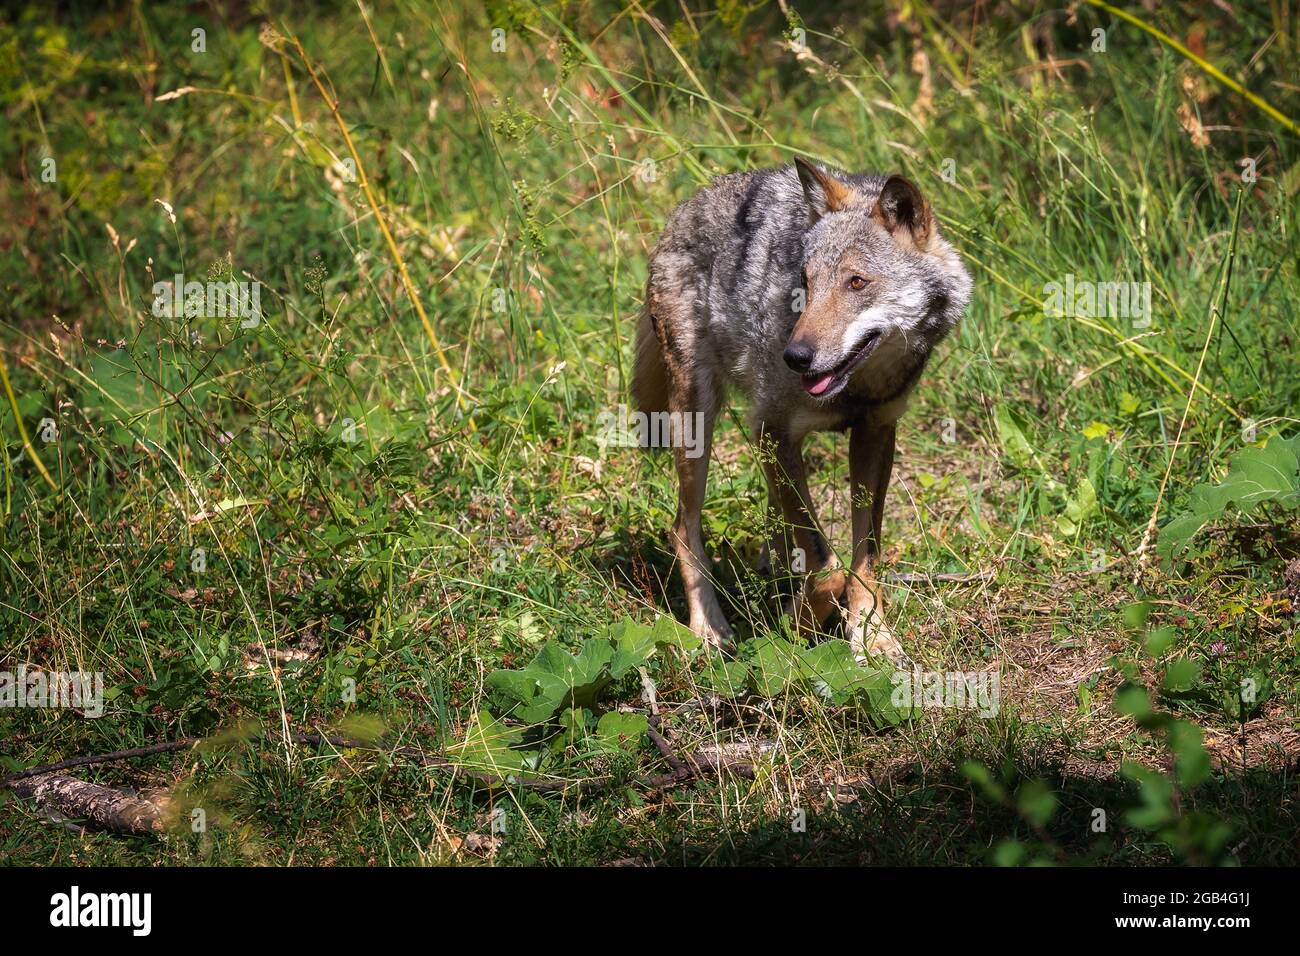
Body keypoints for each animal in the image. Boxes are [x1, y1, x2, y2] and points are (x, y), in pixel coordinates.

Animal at [632, 159, 972, 665]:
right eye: (806, 284)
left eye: (856, 282)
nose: (794, 357)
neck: (860, 387)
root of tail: (685, 208)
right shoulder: (771, 429)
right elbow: (828, 566)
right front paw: (798, 625)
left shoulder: (875, 431)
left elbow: (862, 557)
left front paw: (871, 638)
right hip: (698, 425)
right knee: (681, 527)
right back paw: (708, 628)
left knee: (774, 520)